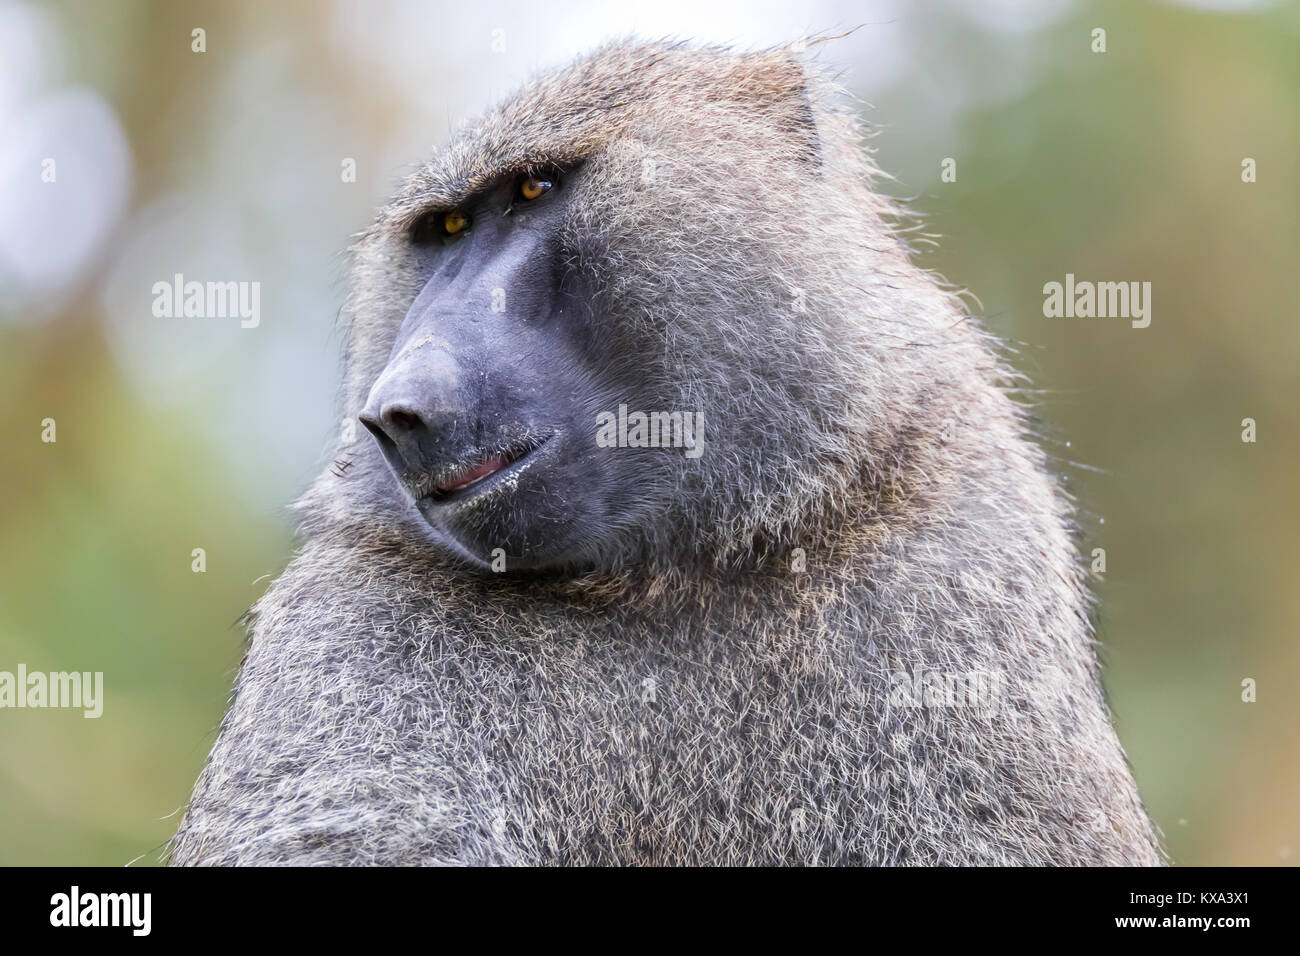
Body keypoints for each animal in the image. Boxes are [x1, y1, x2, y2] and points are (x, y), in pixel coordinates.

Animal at [169, 41, 1164, 866]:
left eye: (533, 192)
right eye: (445, 230)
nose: (397, 411)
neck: (671, 570)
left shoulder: (960, 537)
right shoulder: (359, 610)